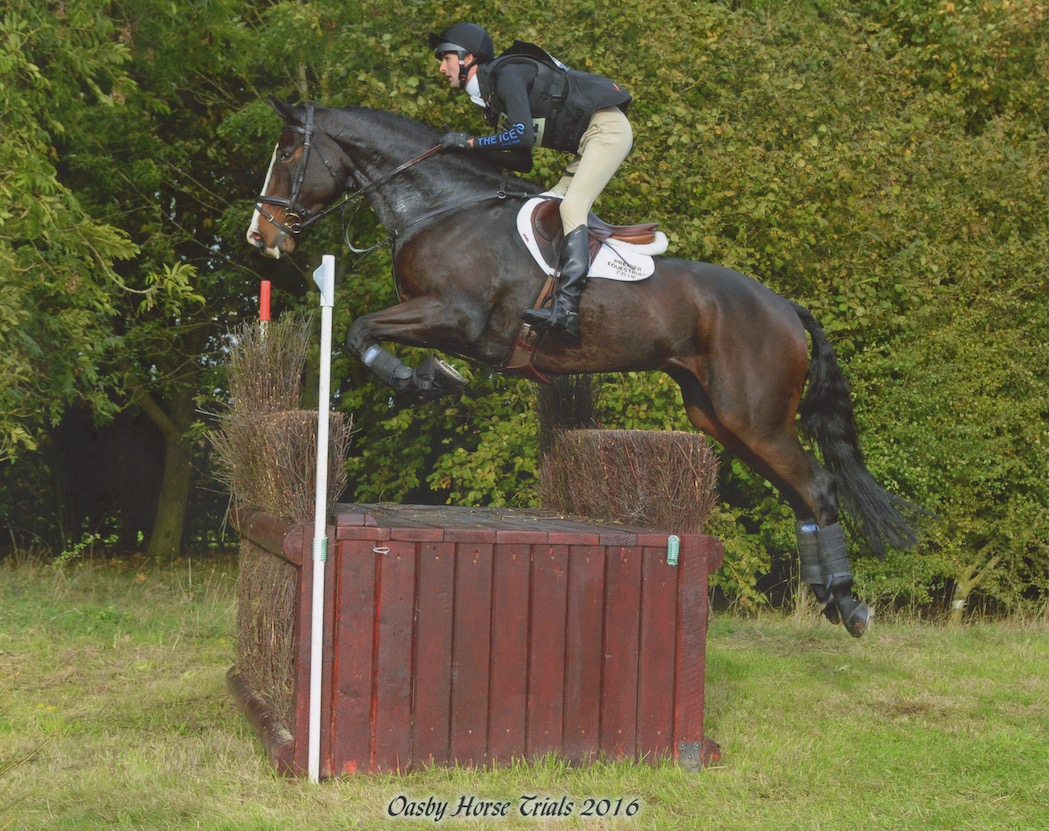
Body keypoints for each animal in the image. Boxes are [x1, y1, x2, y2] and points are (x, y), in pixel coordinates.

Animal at [246, 97, 920, 638]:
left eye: (288, 151)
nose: (261, 236)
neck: (442, 207)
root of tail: (784, 306)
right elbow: (360, 331)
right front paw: (420, 381)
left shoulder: (457, 318)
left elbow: (360, 329)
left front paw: (423, 381)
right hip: (721, 418)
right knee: (800, 493)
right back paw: (830, 598)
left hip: (753, 417)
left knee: (818, 487)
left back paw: (849, 606)